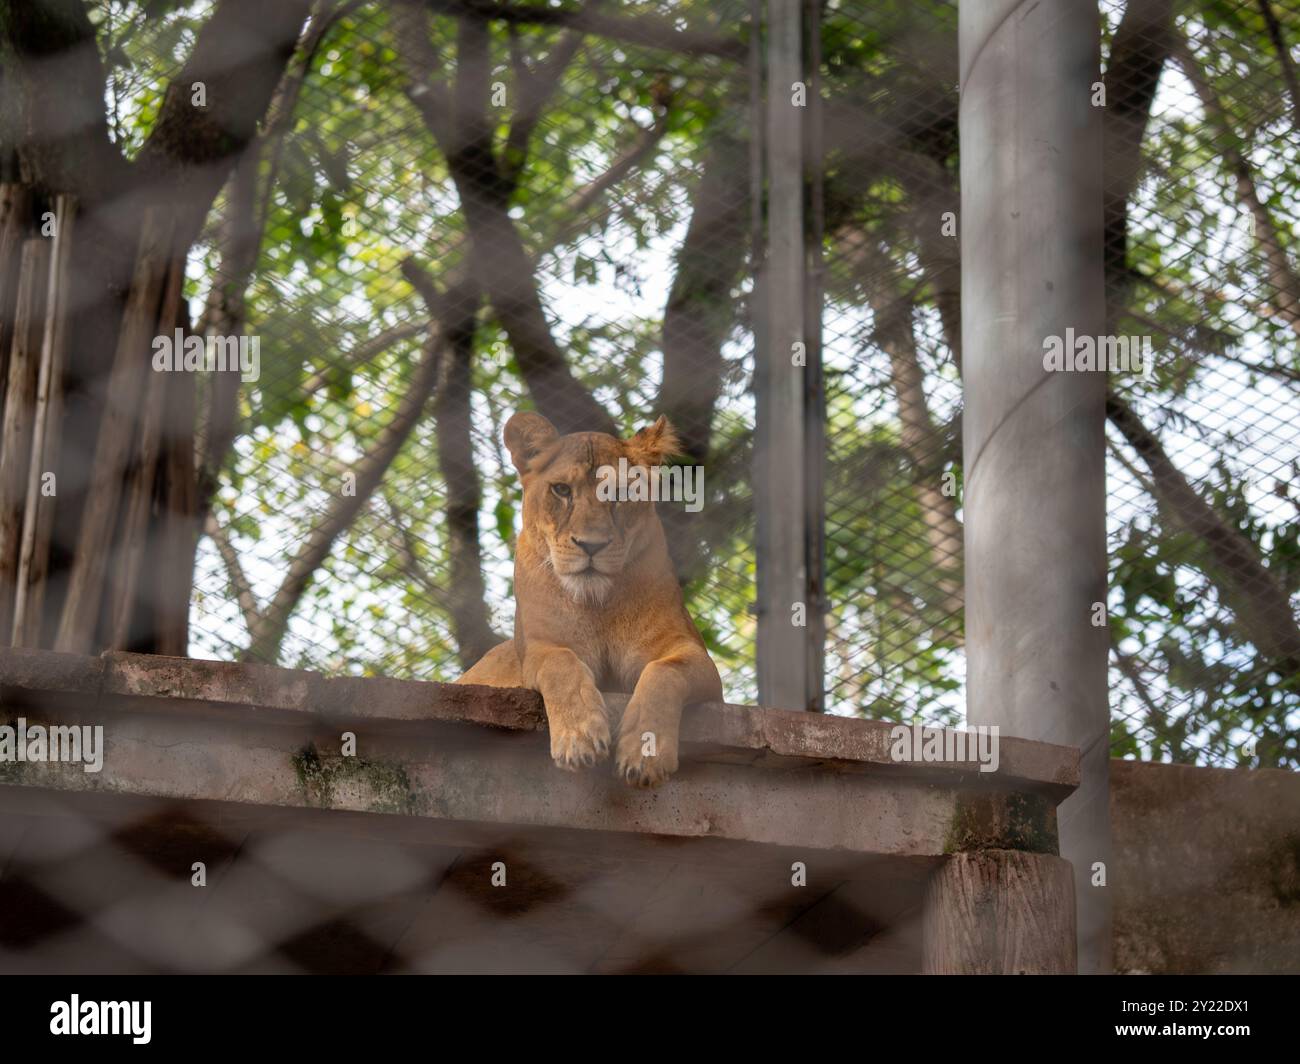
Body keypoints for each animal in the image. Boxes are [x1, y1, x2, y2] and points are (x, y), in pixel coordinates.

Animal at [456, 410, 722, 787]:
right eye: (561, 490)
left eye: (621, 492)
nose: (591, 545)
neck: (598, 605)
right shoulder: (539, 648)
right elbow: (561, 664)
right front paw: (579, 739)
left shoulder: (694, 655)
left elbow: (664, 672)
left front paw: (644, 752)